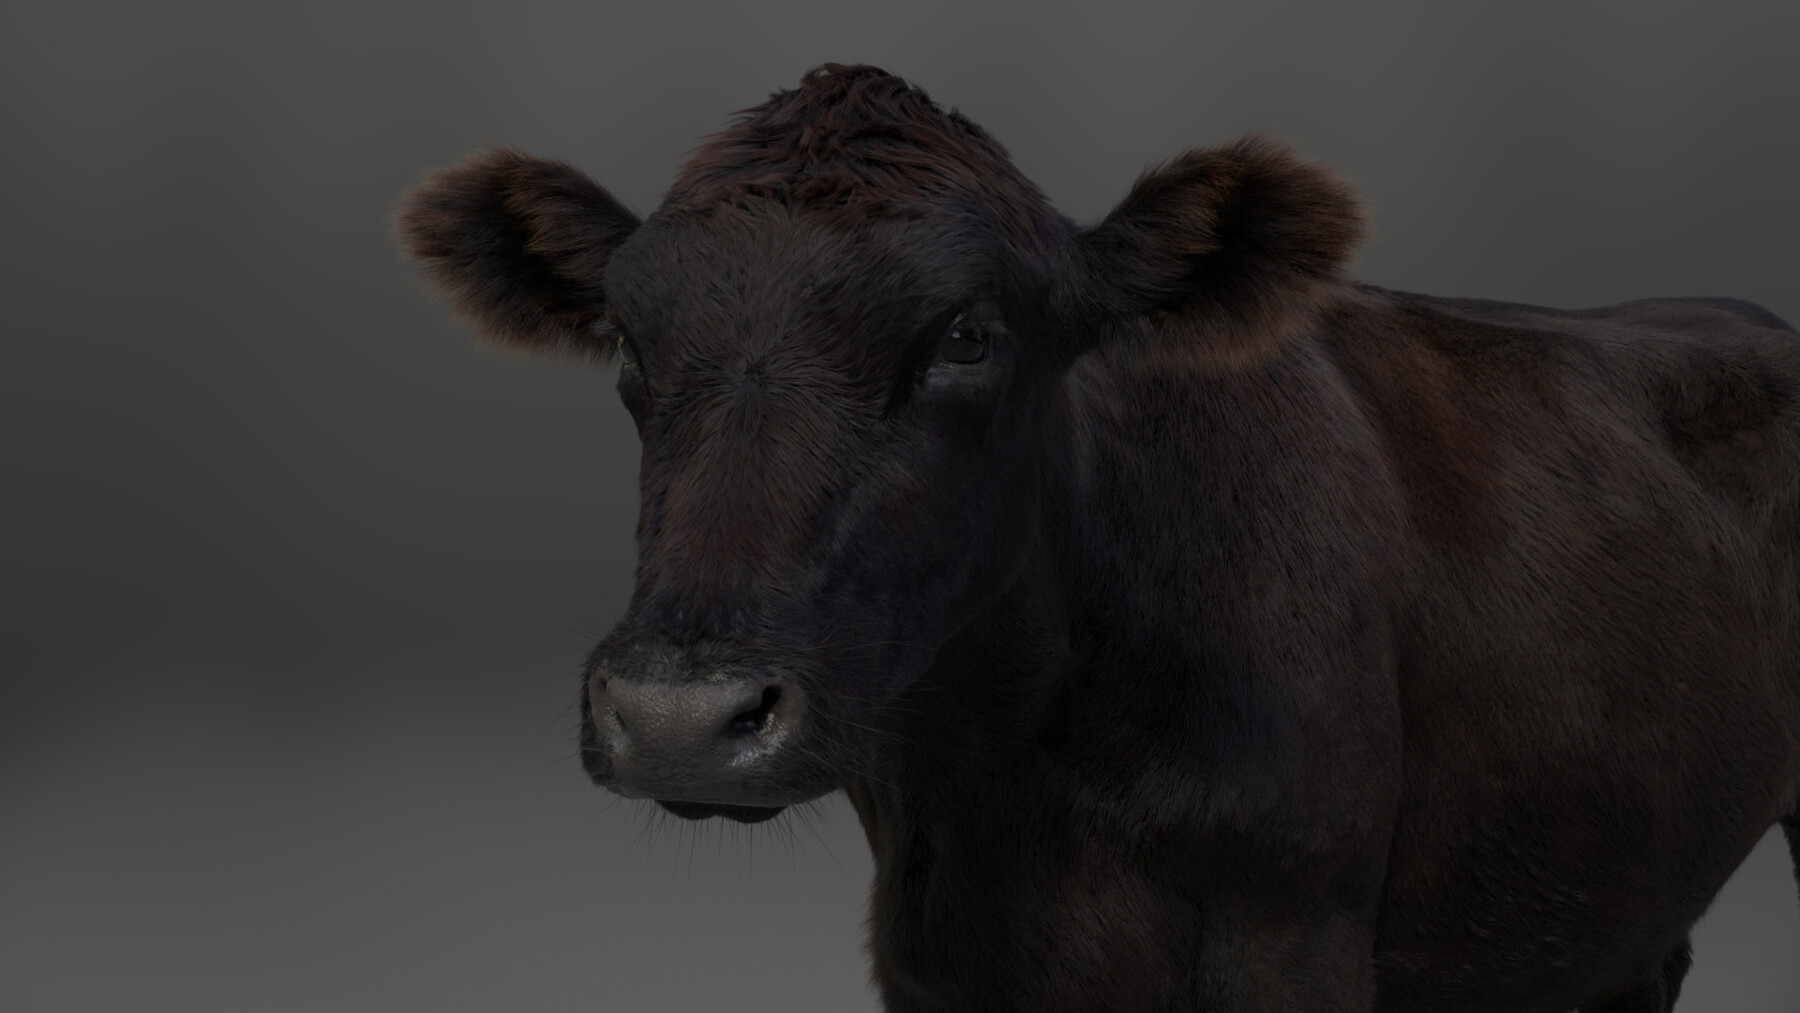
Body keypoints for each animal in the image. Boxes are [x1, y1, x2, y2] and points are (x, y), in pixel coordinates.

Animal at [395, 64, 1800, 1013]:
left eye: (969, 334)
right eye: (630, 342)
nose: (679, 715)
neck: (1027, 786)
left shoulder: (1292, 931)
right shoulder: (929, 956)